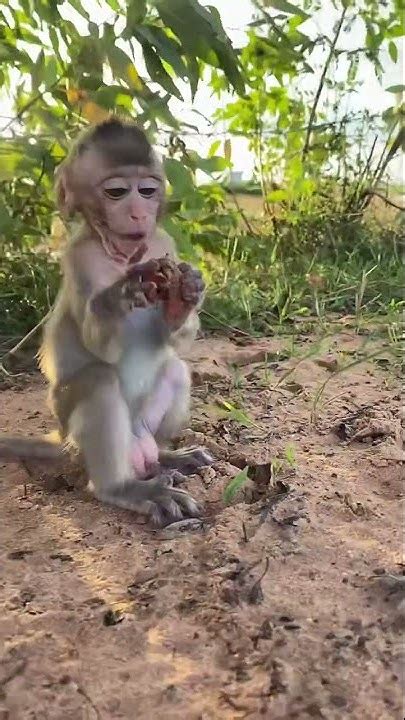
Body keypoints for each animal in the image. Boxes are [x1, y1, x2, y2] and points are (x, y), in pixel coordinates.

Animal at [0, 117, 214, 526]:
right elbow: (101, 347)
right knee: (99, 380)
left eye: (147, 190)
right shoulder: (78, 257)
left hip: (143, 427)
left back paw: (168, 456)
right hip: (72, 423)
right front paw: (122, 293)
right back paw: (126, 488)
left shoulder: (163, 243)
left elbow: (175, 342)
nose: (139, 214)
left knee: (176, 369)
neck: (123, 256)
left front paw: (183, 295)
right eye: (117, 192)